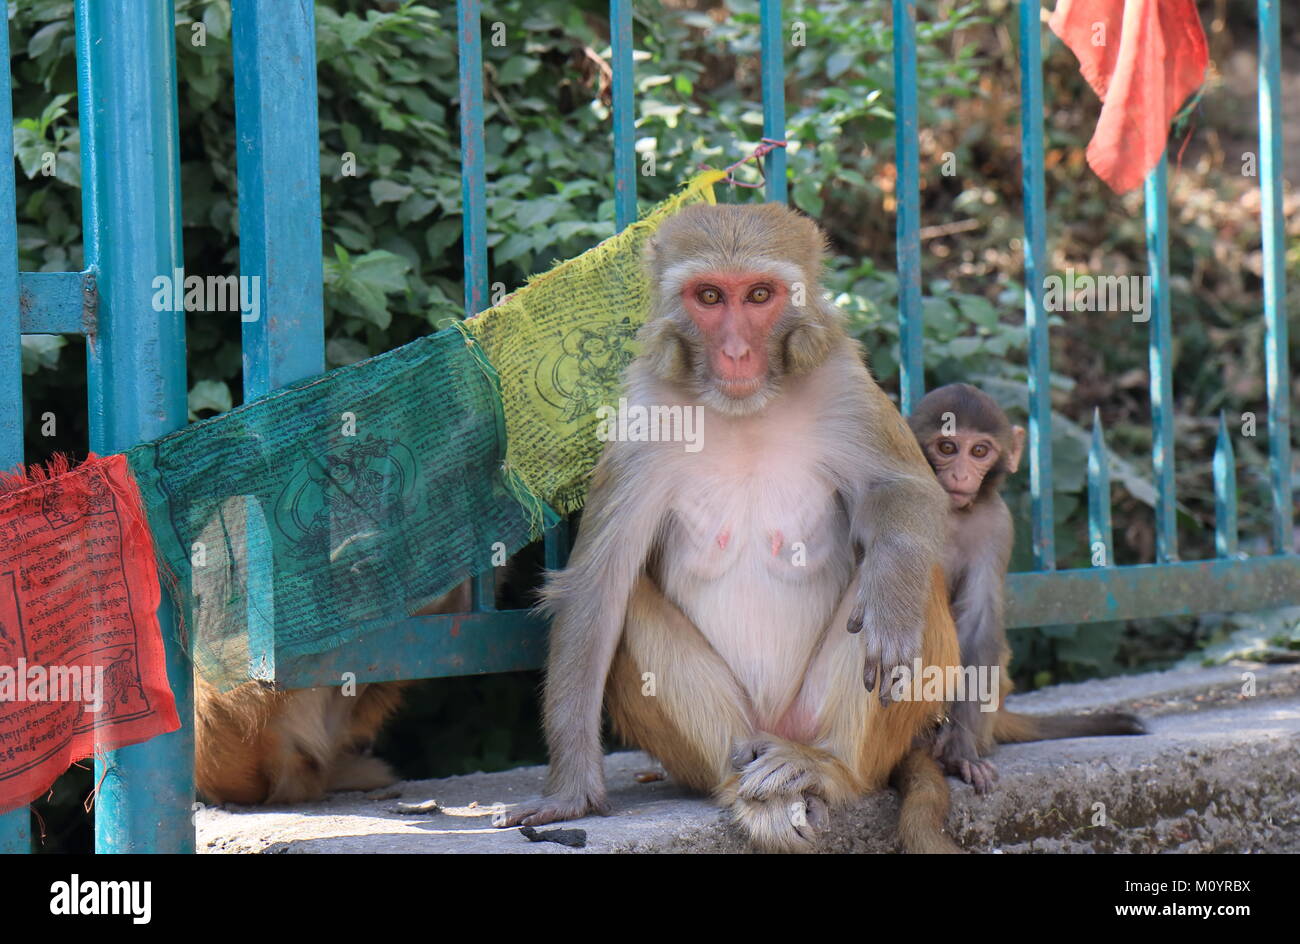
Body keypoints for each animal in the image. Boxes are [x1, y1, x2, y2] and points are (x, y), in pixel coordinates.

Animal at [496, 202, 964, 853]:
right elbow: (599, 586)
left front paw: (891, 609)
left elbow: (906, 491)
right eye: (710, 296)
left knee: (917, 580)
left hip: (822, 721)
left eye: (760, 295)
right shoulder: (643, 416)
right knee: (632, 606)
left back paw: (825, 767)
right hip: (717, 740)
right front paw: (569, 793)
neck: (747, 409)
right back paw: (748, 787)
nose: (738, 352)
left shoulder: (842, 384)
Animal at [908, 383, 1145, 794]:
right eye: (947, 447)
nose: (961, 474)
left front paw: (959, 749)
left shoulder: (997, 523)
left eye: (980, 451)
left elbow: (978, 624)